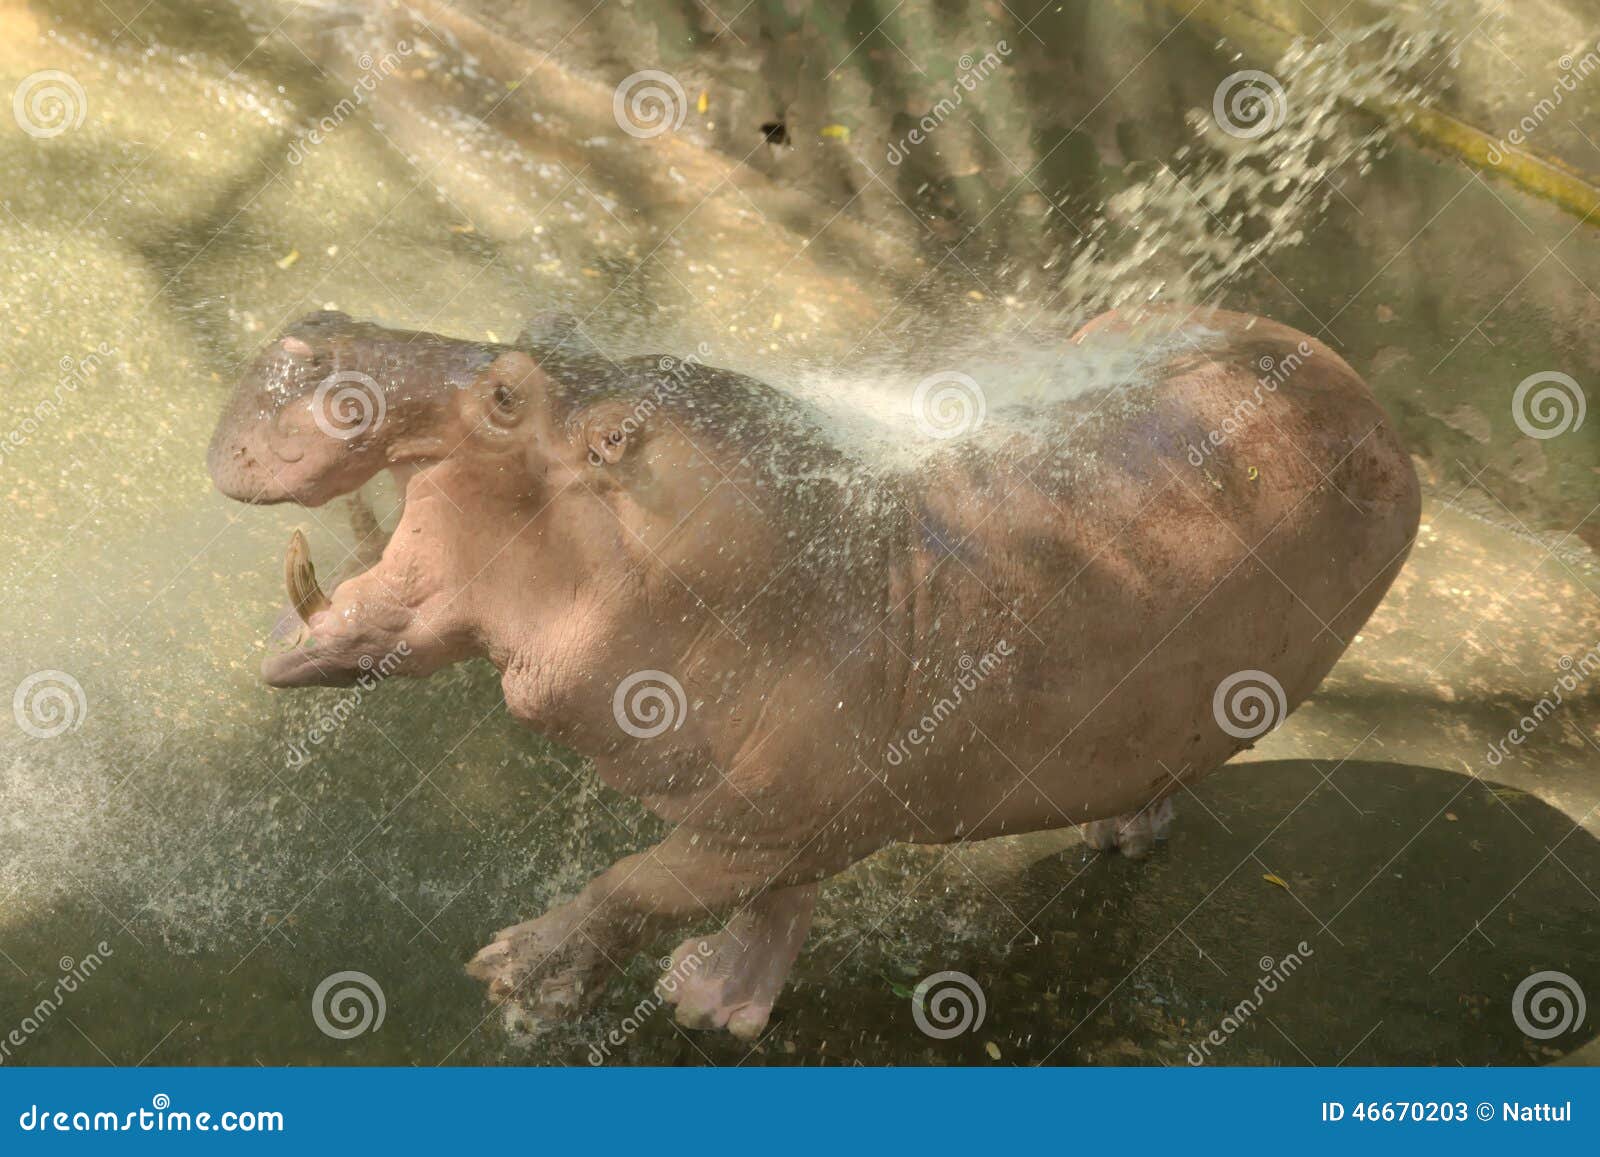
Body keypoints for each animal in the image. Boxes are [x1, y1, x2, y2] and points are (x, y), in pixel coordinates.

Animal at [207, 306, 1419, 1040]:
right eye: (542, 329)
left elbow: (642, 883)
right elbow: (770, 900)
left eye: (506, 396)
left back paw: (1123, 836)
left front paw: (521, 975)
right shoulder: (795, 814)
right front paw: (714, 1005)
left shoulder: (774, 811)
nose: (309, 335)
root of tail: (1363, 387)